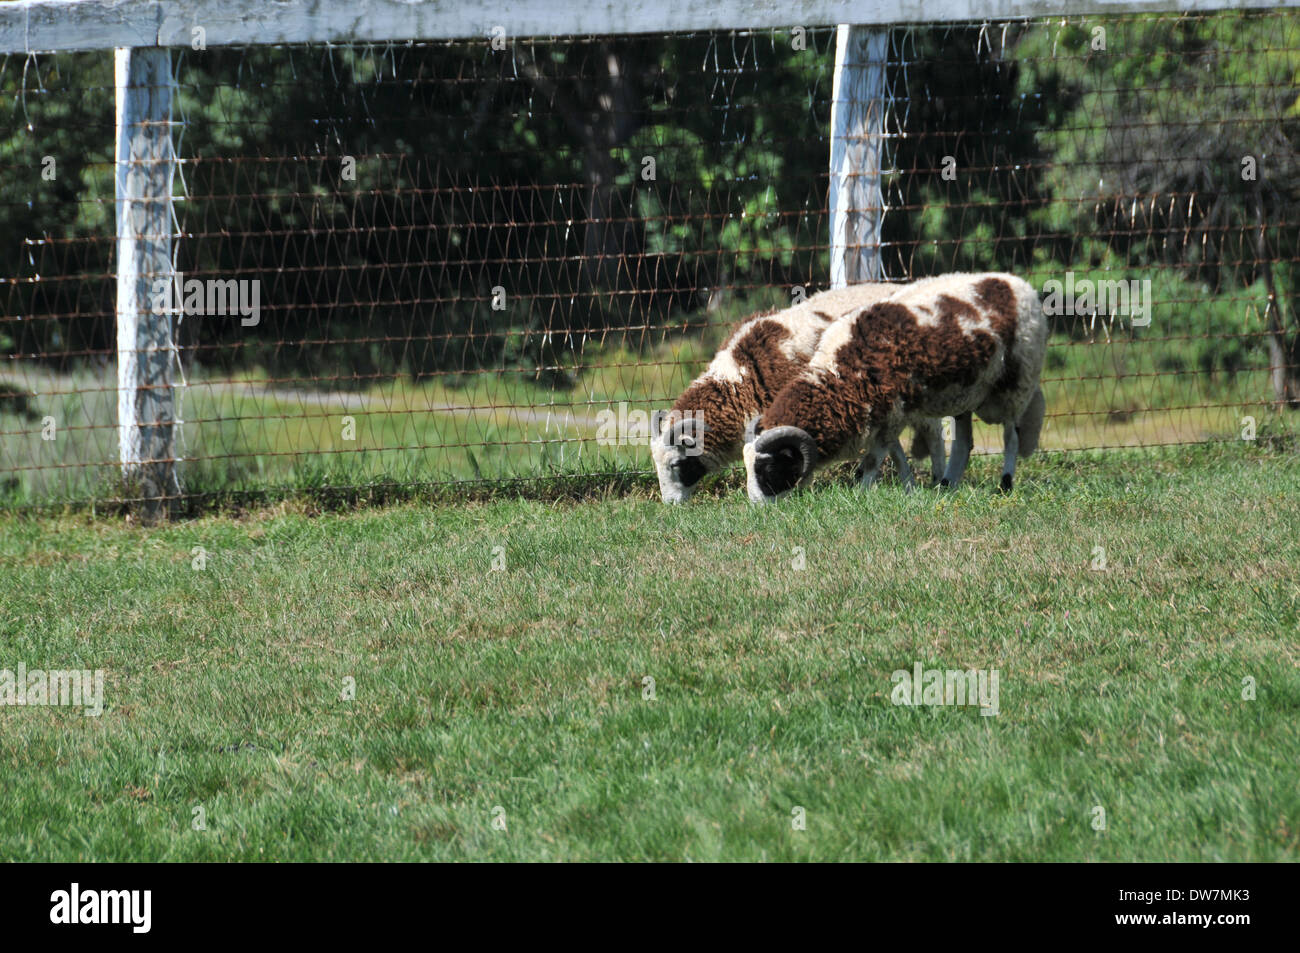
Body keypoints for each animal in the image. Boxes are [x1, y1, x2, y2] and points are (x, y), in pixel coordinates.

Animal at [743, 272, 1047, 504]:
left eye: (768, 466)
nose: (757, 508)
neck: (840, 375)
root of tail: (1019, 284)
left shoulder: (892, 414)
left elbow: (872, 460)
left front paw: (861, 495)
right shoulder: (890, 417)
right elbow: (897, 456)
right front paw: (908, 489)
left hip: (1015, 383)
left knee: (1011, 436)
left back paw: (1005, 485)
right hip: (967, 392)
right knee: (964, 442)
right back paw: (947, 485)